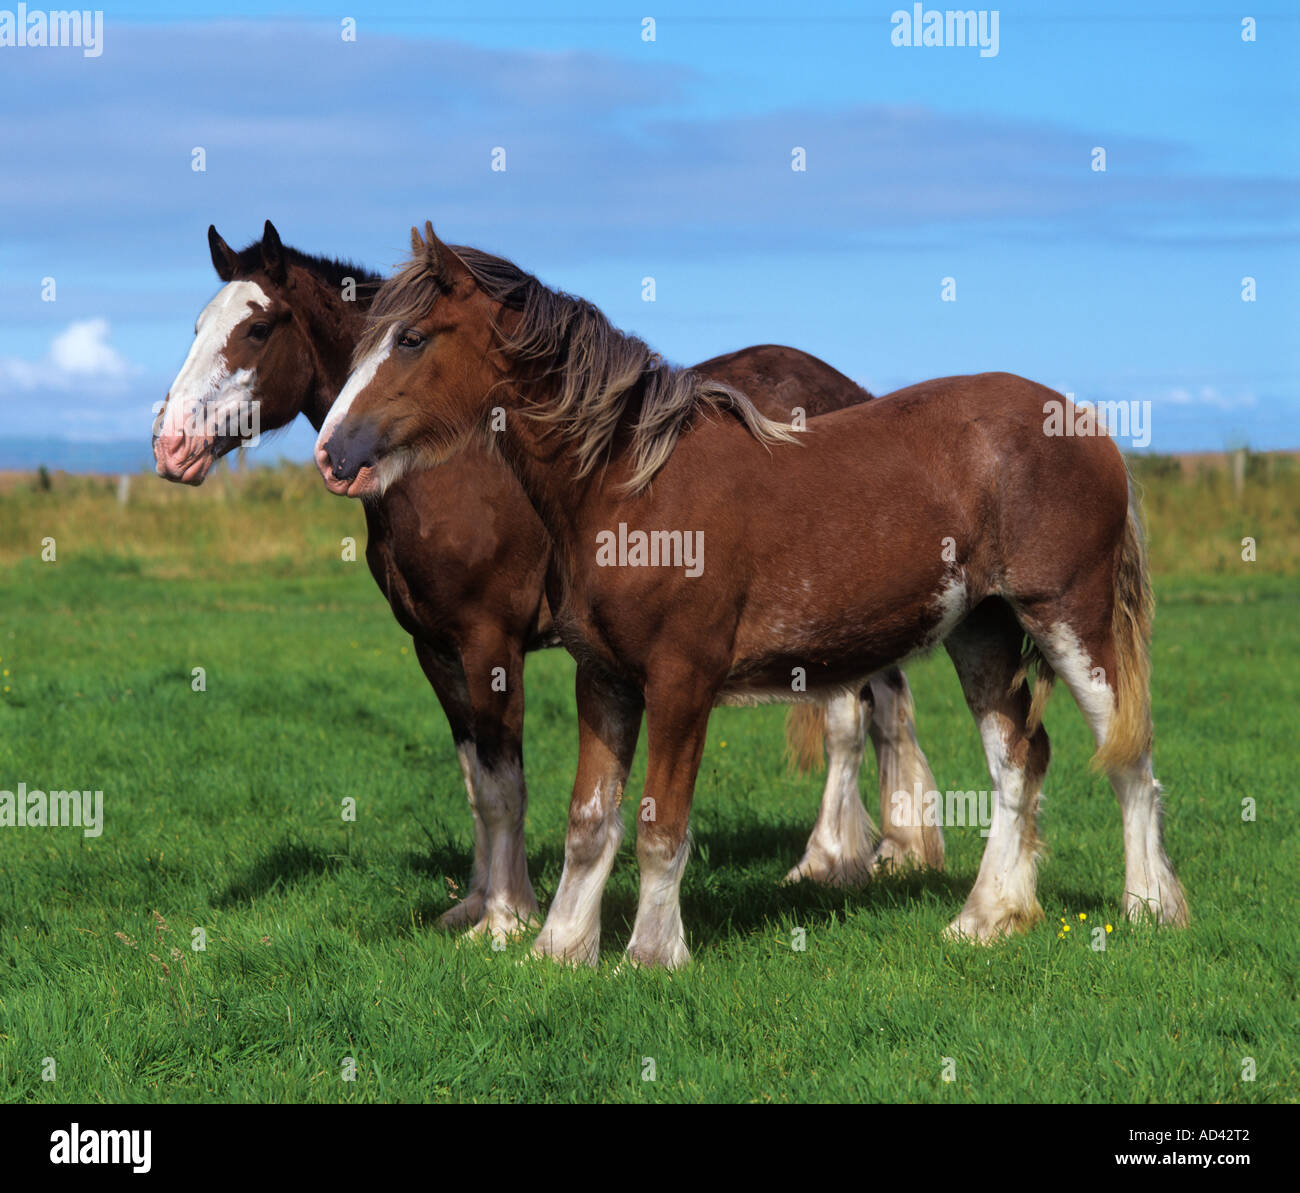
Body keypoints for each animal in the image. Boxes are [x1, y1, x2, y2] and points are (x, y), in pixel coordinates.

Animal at [153, 221, 945, 940]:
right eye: (196, 326)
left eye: (257, 329)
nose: (170, 444)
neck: (446, 468)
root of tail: (848, 389)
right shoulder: (435, 649)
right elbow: (477, 780)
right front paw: (474, 904)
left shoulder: (490, 641)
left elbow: (506, 784)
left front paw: (507, 917)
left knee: (849, 725)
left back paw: (827, 859)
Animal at [315, 223, 1189, 969]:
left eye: (412, 338)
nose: (331, 452)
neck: (628, 487)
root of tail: (1087, 424)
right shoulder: (602, 676)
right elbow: (588, 821)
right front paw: (558, 948)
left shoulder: (681, 679)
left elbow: (659, 825)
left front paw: (650, 954)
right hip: (981, 629)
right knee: (1017, 761)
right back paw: (986, 917)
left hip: (1068, 617)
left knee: (1128, 754)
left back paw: (1150, 905)